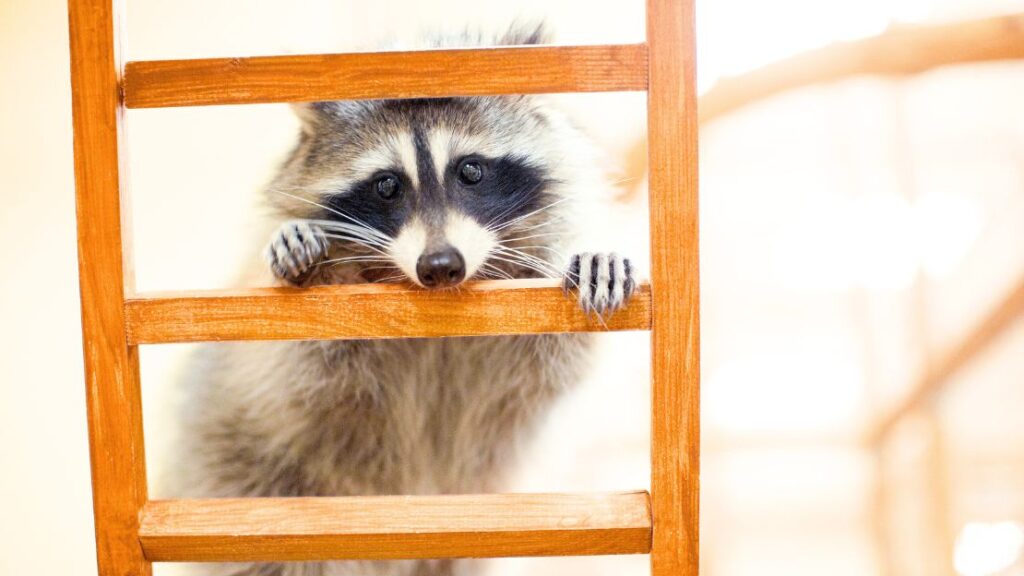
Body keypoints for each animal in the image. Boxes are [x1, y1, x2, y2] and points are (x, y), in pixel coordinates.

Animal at [174, 24, 637, 576]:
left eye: (471, 171)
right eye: (387, 185)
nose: (440, 266)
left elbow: (558, 356)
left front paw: (583, 254)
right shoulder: (282, 377)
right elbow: (293, 364)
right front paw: (314, 264)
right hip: (247, 474)